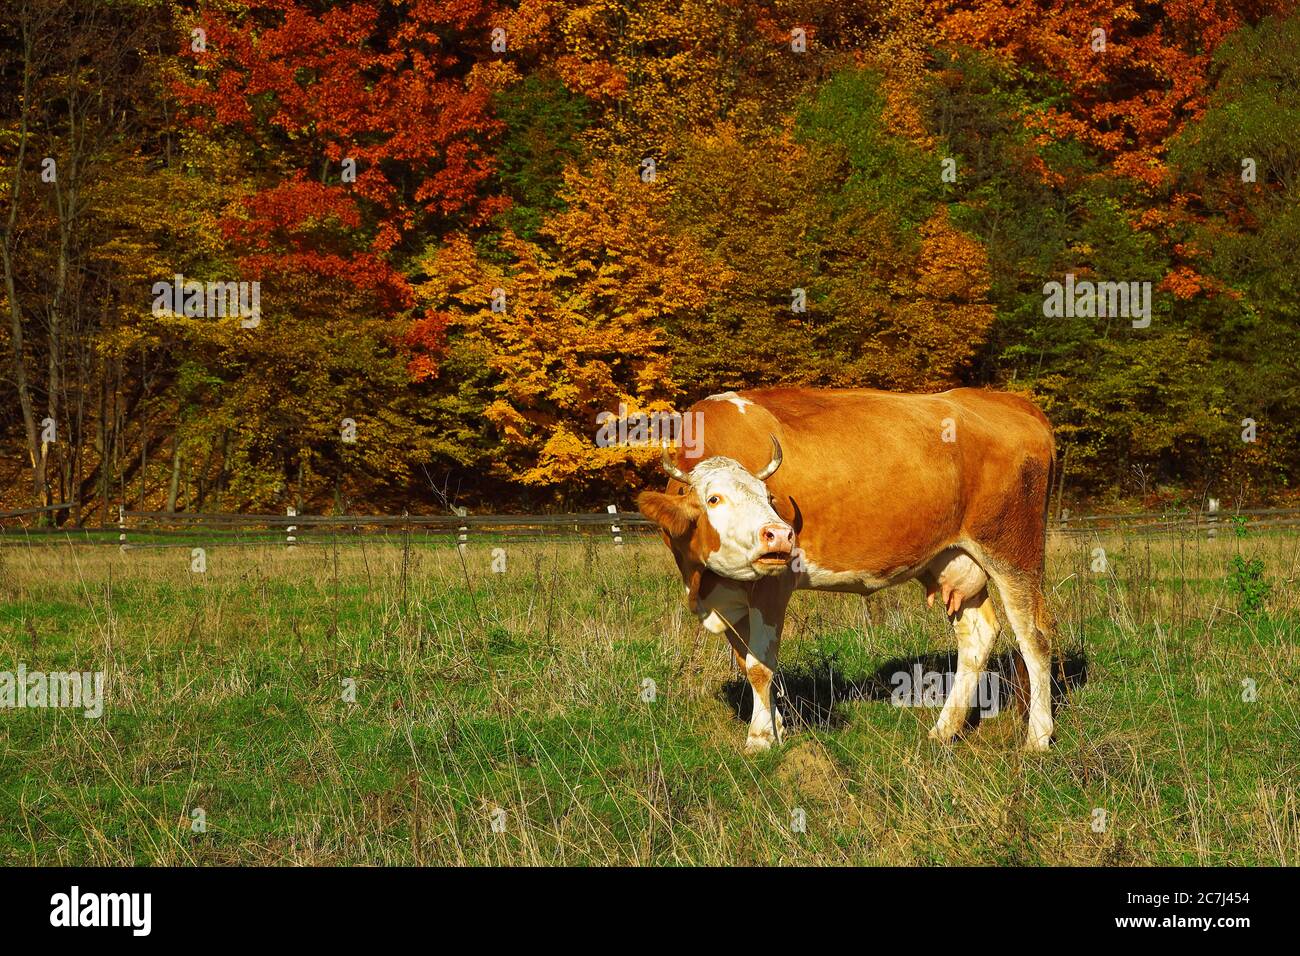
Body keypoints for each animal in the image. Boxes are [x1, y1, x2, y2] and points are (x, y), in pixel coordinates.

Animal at [637, 387, 1058, 753]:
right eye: (714, 498)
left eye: (769, 497)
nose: (780, 535)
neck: (704, 583)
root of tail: (1009, 401)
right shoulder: (728, 596)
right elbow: (746, 662)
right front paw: (776, 726)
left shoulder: (772, 586)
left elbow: (759, 666)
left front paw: (760, 738)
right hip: (953, 559)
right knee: (978, 636)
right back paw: (944, 729)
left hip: (1013, 553)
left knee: (1034, 637)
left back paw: (1038, 737)